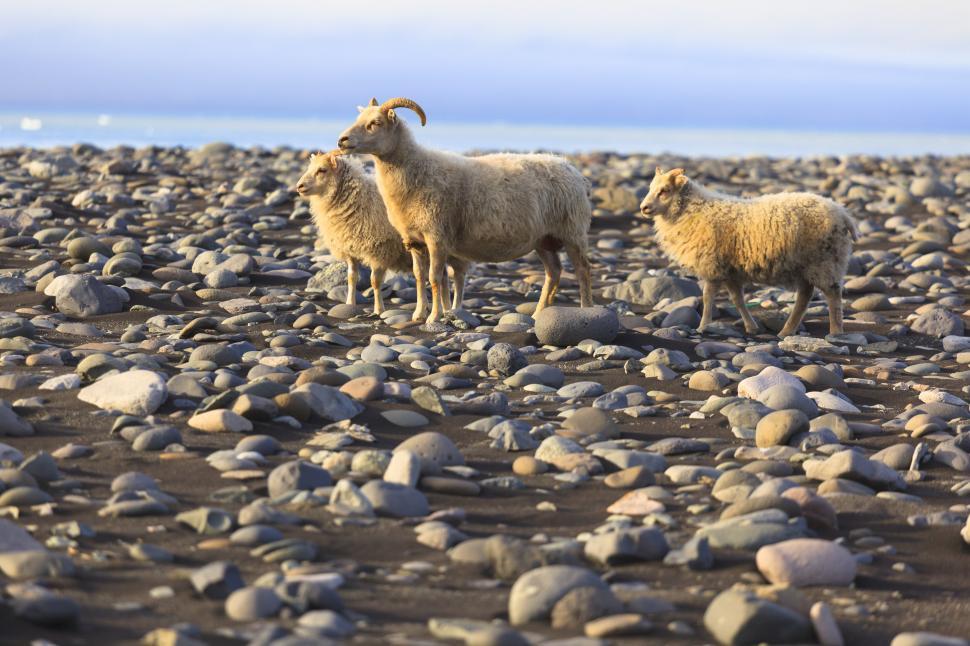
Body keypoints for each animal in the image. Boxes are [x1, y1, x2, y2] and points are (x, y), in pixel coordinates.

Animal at [295, 149, 467, 317]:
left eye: (322, 170)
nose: (299, 186)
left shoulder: (379, 250)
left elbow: (375, 281)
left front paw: (378, 310)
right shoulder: (350, 249)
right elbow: (351, 278)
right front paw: (349, 304)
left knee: (458, 278)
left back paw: (455, 309)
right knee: (443, 277)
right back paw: (445, 309)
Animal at [336, 97, 594, 323]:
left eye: (376, 123)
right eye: (359, 118)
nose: (341, 141)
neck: (415, 170)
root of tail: (571, 169)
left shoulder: (437, 236)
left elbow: (434, 278)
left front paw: (434, 317)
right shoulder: (414, 241)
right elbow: (420, 277)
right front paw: (418, 314)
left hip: (573, 231)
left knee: (583, 270)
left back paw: (585, 310)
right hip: (543, 239)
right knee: (554, 272)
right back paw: (539, 314)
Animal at [638, 167, 857, 337]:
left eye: (664, 190)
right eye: (650, 188)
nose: (644, 208)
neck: (693, 210)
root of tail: (842, 212)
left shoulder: (712, 265)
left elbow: (708, 297)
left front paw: (703, 326)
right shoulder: (730, 269)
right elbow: (738, 300)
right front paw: (751, 327)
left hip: (826, 261)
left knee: (833, 295)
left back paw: (836, 332)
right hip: (806, 265)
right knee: (805, 296)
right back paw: (787, 331)